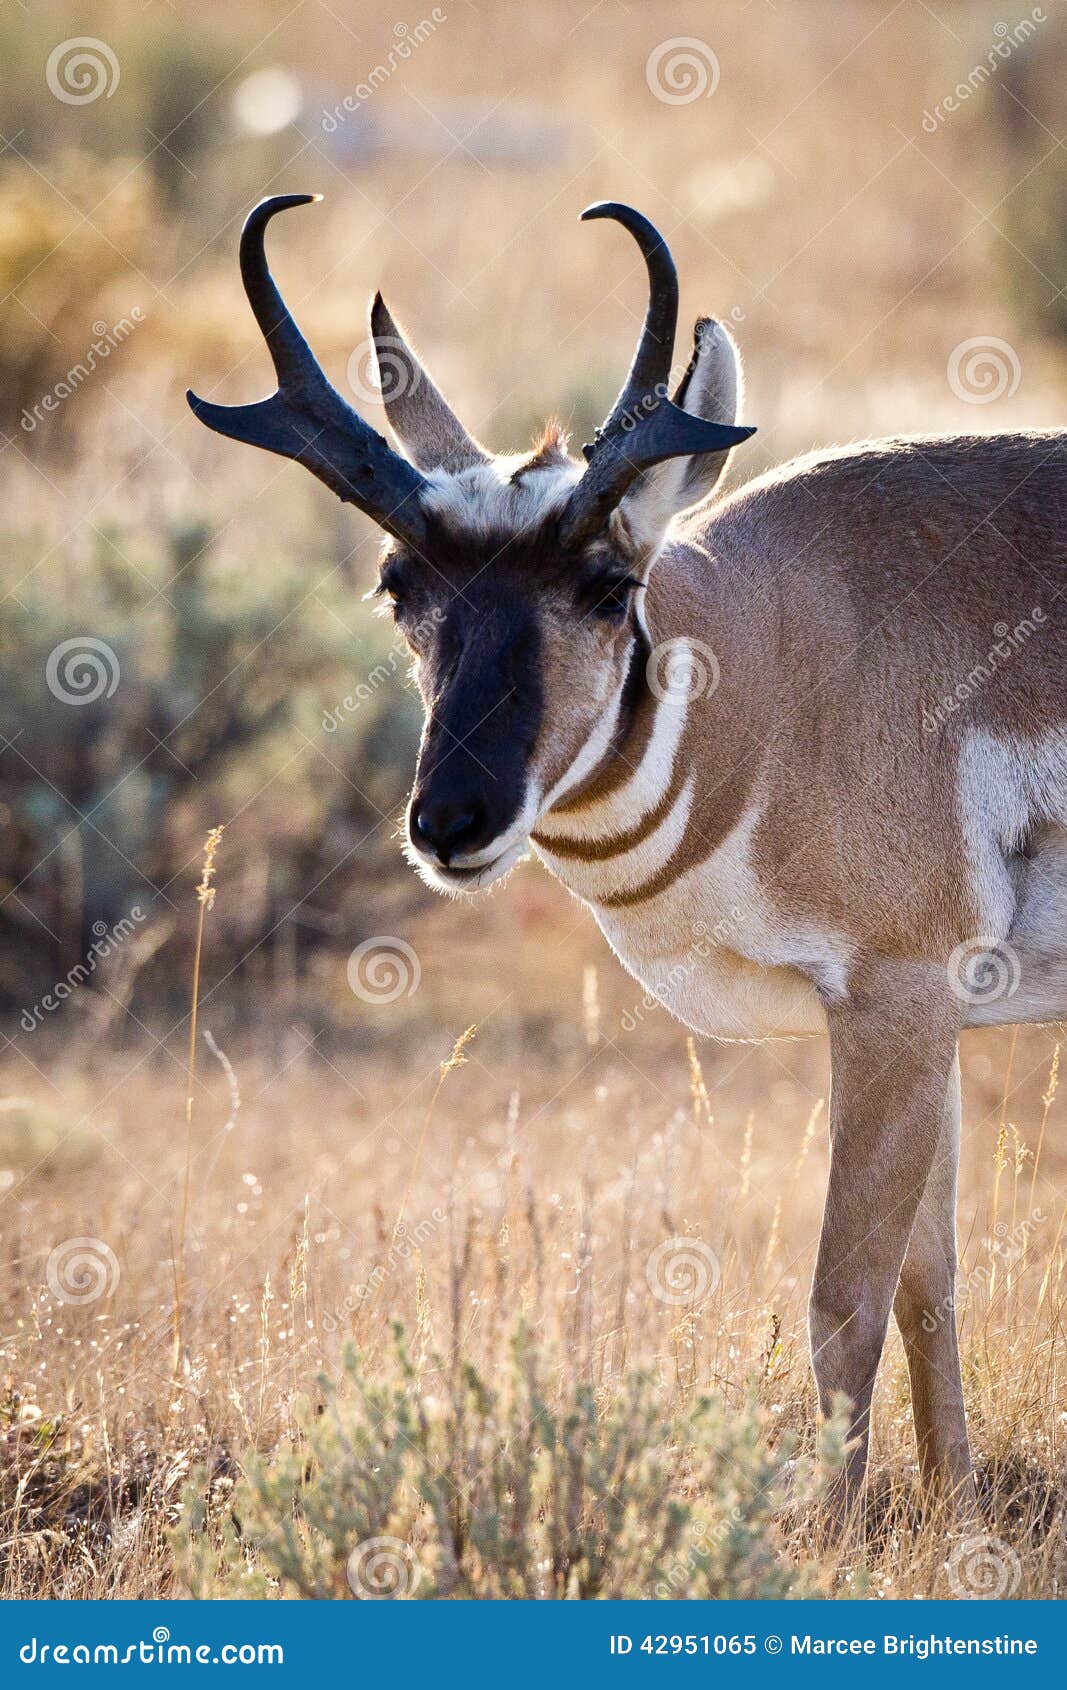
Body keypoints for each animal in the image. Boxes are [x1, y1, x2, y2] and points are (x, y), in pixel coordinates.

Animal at [190, 193, 1067, 1521]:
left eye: (606, 583)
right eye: (398, 582)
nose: (450, 820)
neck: (788, 650)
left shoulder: (893, 1007)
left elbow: (844, 1300)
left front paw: (829, 1535)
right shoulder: (930, 1025)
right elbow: (929, 1286)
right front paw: (953, 1517)